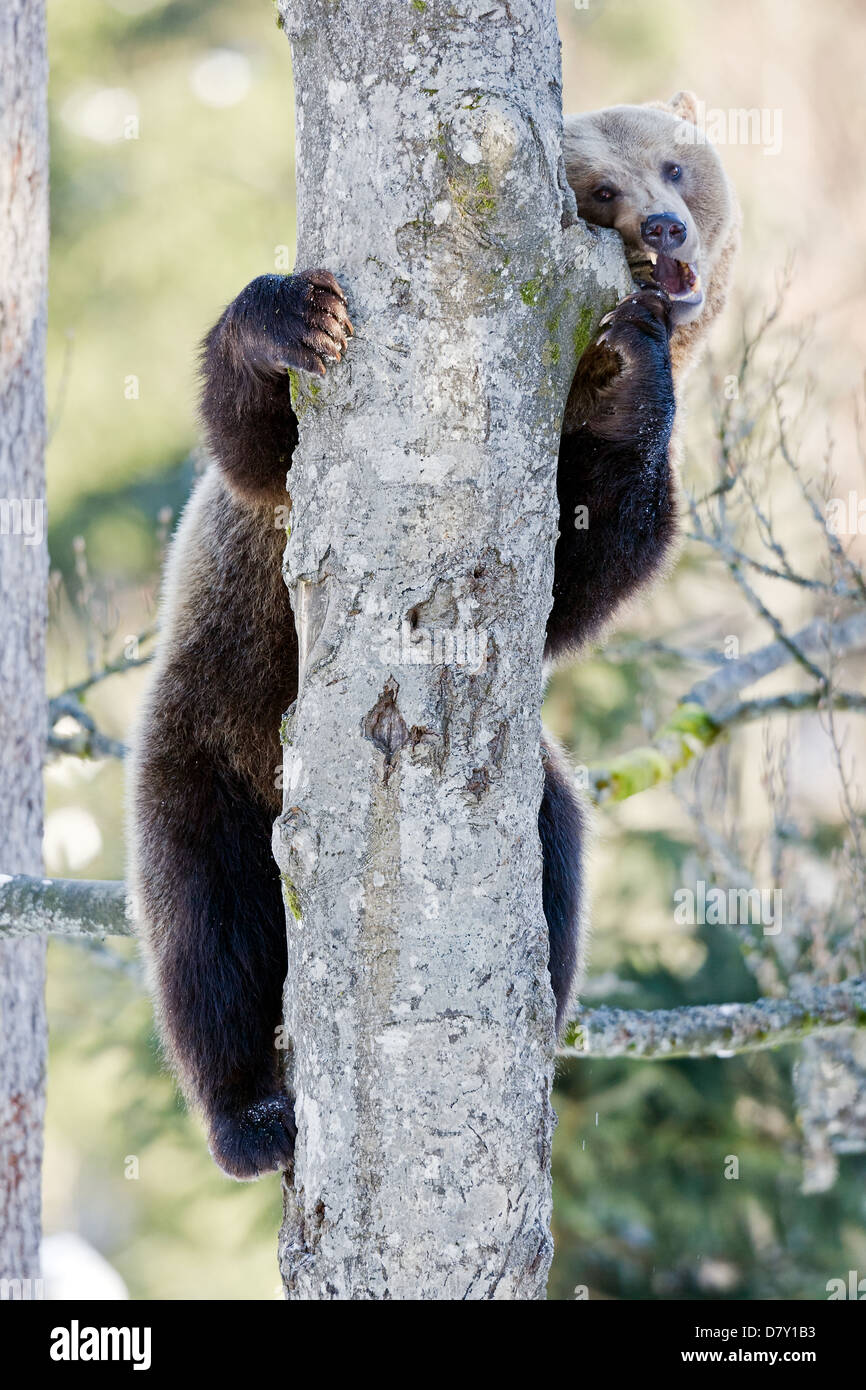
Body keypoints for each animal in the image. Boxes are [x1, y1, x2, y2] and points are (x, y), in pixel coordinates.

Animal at [129, 91, 738, 1180]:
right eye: (599, 189)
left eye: (674, 166)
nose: (666, 230)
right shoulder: (271, 525)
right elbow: (256, 446)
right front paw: (290, 318)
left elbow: (587, 569)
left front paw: (634, 369)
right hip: (203, 740)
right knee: (206, 932)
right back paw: (251, 1117)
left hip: (527, 783)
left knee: (555, 855)